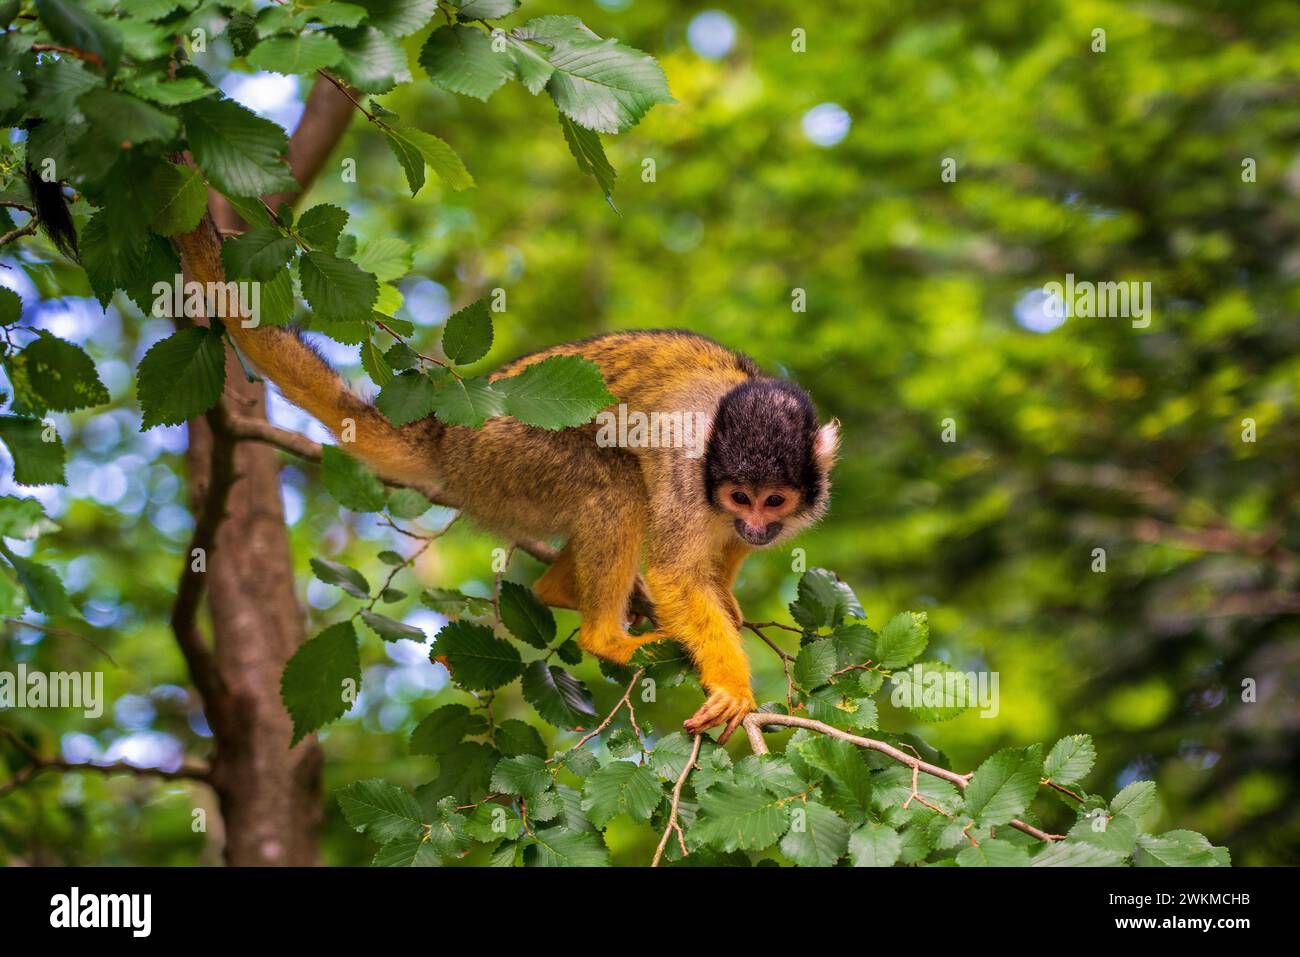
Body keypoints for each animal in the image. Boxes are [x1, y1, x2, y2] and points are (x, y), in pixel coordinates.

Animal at [224, 322, 839, 741]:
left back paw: (562, 590)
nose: (755, 523)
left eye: (773, 501)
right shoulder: (690, 477)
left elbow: (719, 552)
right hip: (506, 458)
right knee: (617, 483)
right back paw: (603, 636)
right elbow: (675, 572)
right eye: (740, 496)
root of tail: (446, 436)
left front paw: (726, 596)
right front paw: (734, 687)